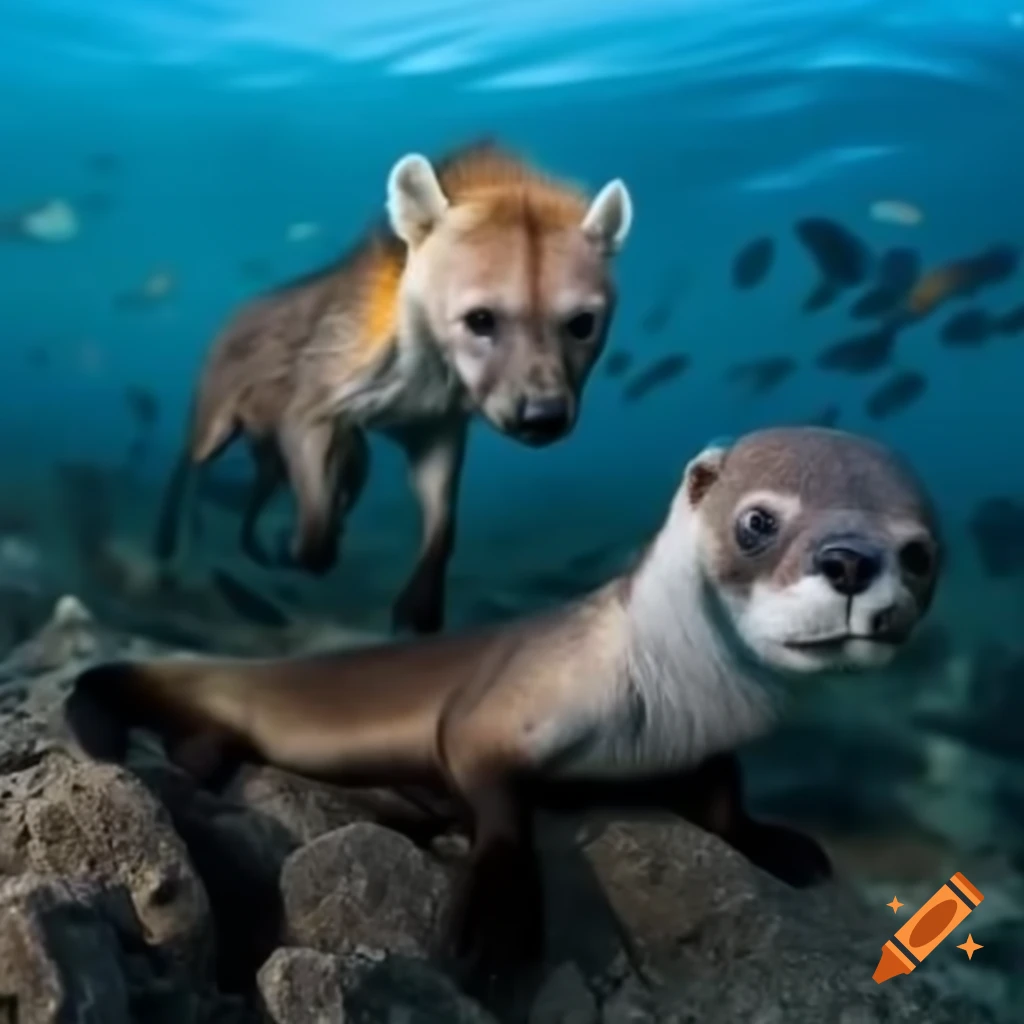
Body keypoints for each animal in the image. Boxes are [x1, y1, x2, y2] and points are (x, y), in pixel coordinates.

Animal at [65, 426, 942, 988]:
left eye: (921, 552)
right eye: (758, 520)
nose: (850, 560)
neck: (680, 696)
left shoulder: (713, 744)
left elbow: (727, 802)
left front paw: (780, 845)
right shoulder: (505, 706)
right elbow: (494, 798)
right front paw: (496, 917)